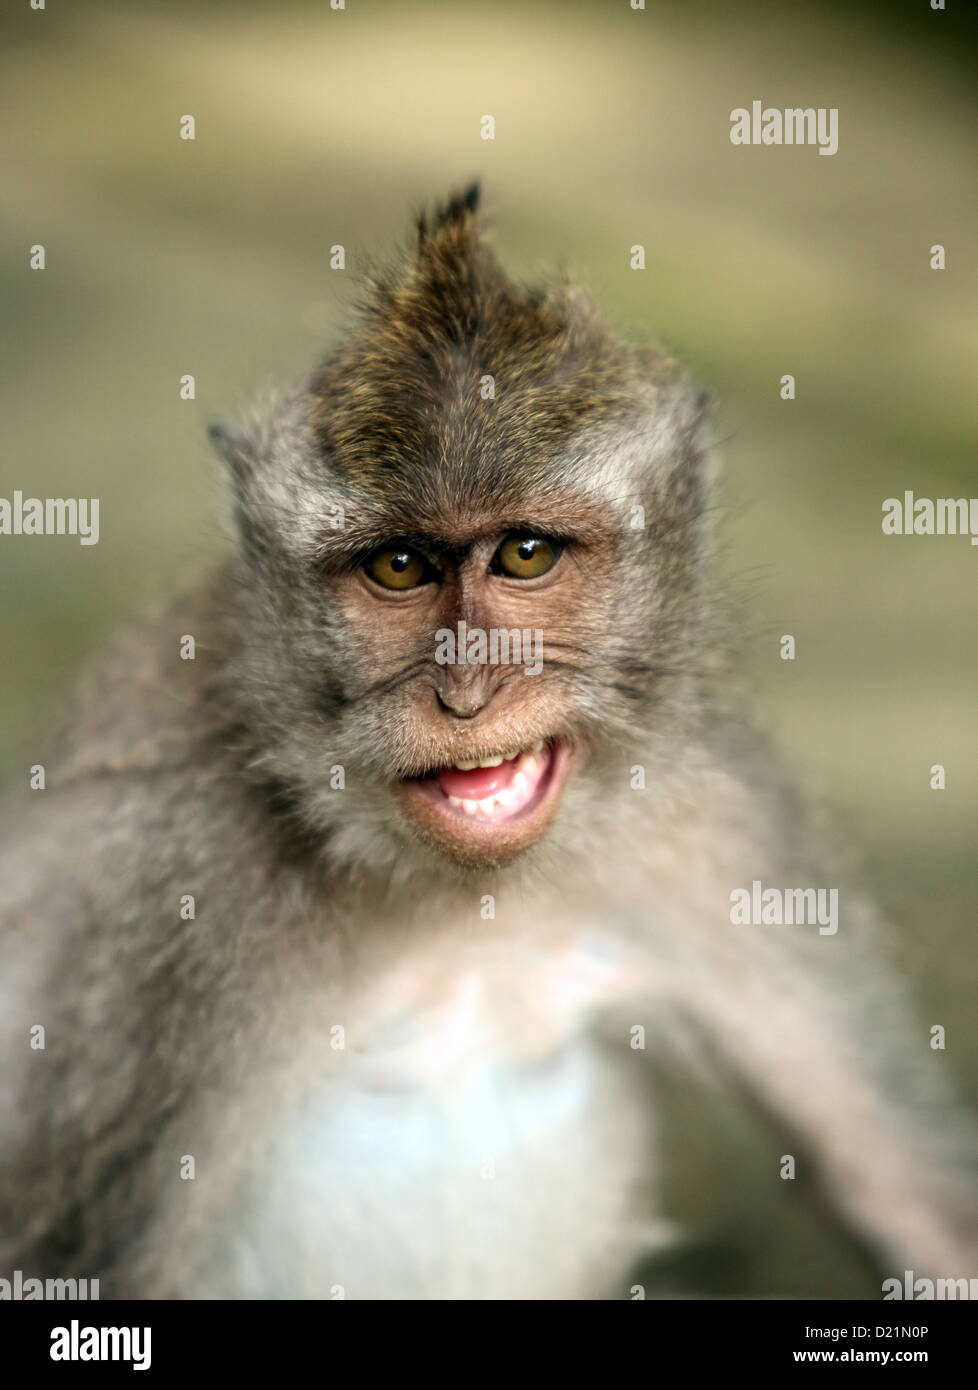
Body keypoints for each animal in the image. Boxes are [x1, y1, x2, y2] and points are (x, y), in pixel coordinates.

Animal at [0, 183, 976, 1300]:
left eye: (525, 553)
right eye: (398, 567)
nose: (466, 693)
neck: (464, 897)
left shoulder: (727, 814)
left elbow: (894, 1181)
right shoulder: (159, 898)